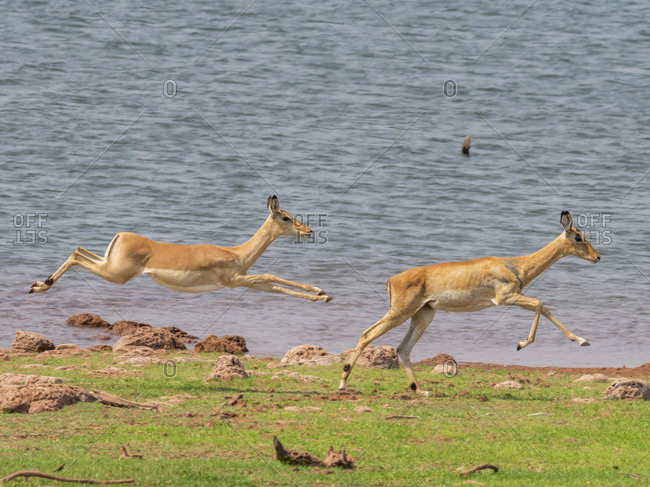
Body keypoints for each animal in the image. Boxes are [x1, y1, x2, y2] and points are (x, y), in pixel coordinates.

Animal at [29, 196, 332, 302]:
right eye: (286, 217)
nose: (308, 231)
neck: (237, 254)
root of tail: (121, 235)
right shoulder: (234, 280)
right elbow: (272, 277)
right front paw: (322, 292)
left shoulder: (243, 281)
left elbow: (276, 286)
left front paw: (322, 294)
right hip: (116, 274)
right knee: (76, 255)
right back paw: (39, 286)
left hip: (108, 264)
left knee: (78, 249)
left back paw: (38, 284)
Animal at [340, 211, 600, 395]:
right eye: (579, 236)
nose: (597, 256)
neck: (516, 265)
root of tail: (391, 279)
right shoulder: (505, 298)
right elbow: (540, 304)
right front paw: (526, 344)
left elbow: (541, 305)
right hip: (400, 313)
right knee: (367, 334)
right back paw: (343, 384)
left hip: (423, 315)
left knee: (403, 348)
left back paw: (420, 390)